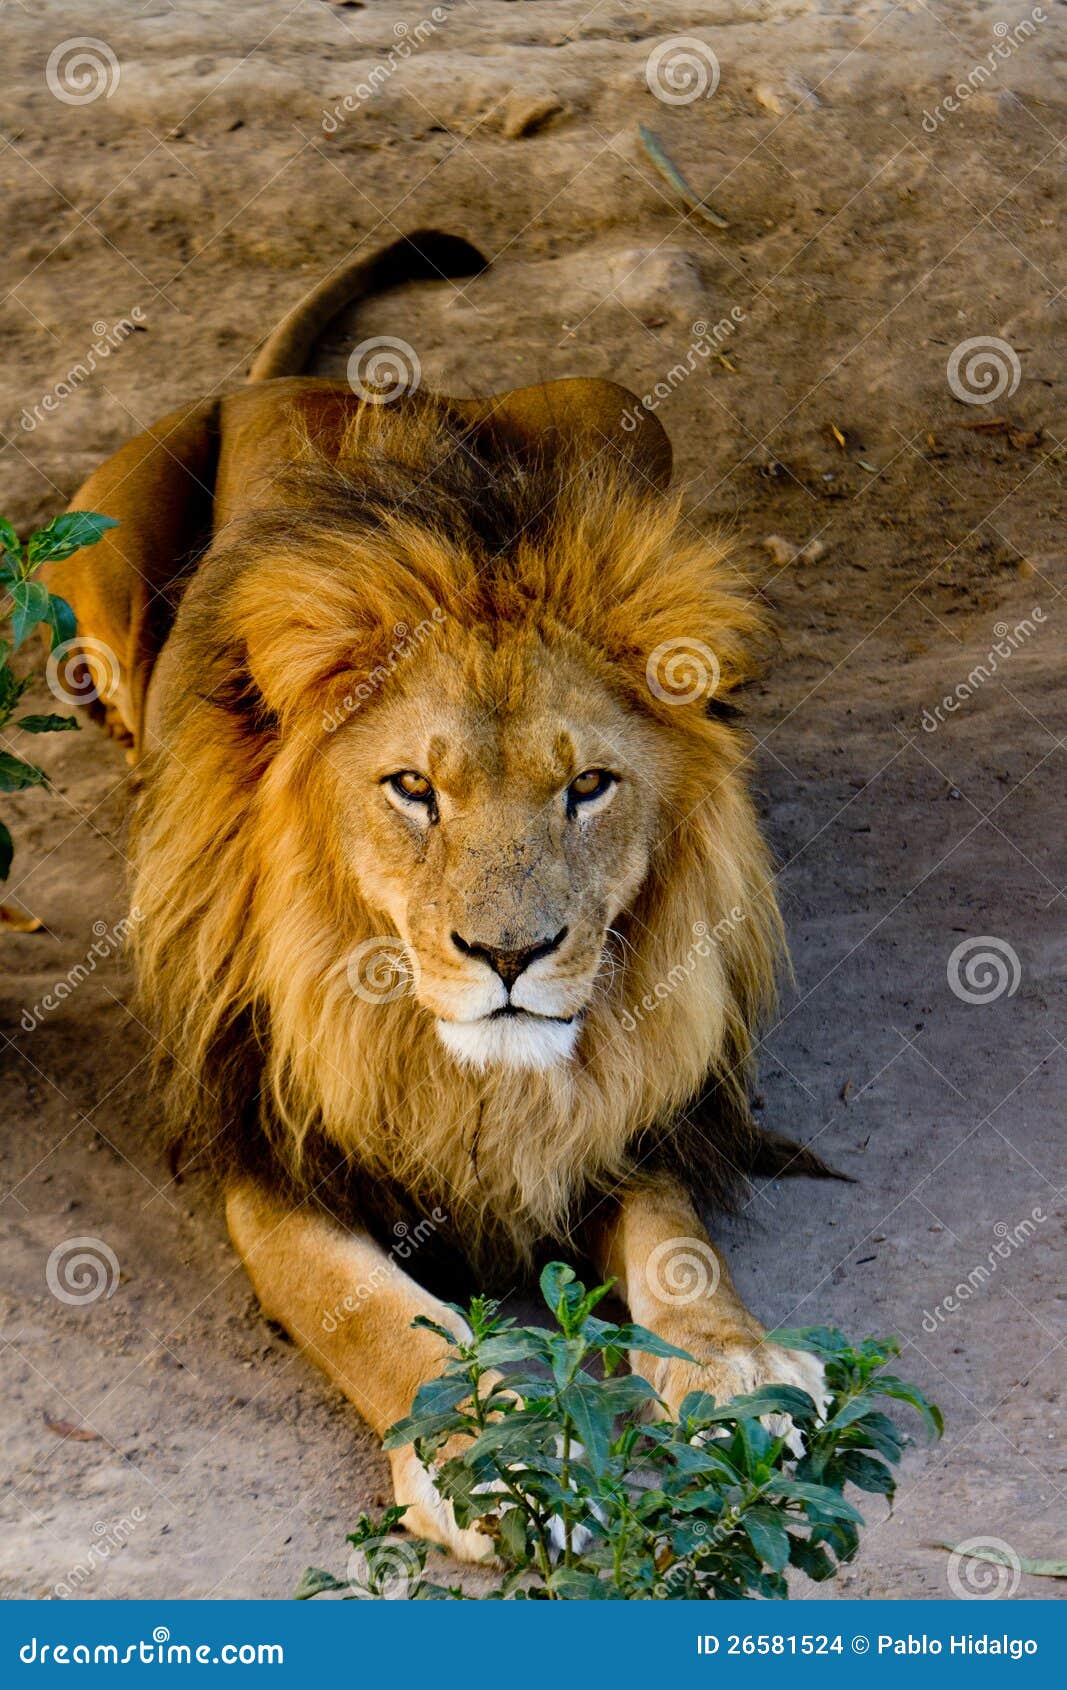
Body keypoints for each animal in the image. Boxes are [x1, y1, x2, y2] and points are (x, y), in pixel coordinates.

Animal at [44, 230, 831, 1561]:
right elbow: (365, 1307)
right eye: (412, 787)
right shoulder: (264, 1142)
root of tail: (288, 382)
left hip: (610, 404)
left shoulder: (626, 1107)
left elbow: (674, 1241)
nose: (509, 956)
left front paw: (734, 1367)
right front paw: (484, 1451)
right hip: (92, 557)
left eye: (586, 786)